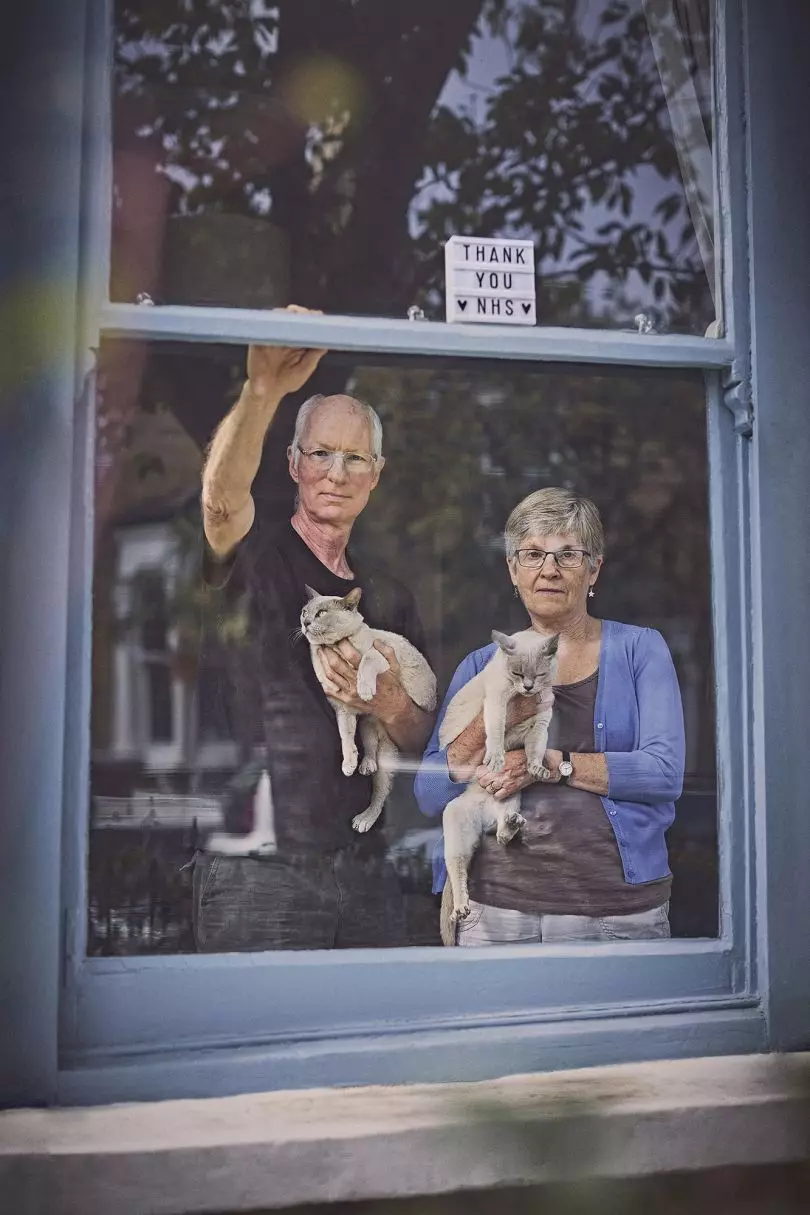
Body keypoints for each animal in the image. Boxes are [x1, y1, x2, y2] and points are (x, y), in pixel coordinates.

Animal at [301, 588, 437, 835]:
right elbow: (345, 737)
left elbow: (367, 658)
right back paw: (365, 765)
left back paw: (363, 820)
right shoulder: (344, 710)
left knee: (380, 795)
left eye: (322, 613)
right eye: (305, 612)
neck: (333, 647)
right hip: (368, 722)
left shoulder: (380, 656)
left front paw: (364, 690)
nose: (305, 622)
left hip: (387, 753)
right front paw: (348, 765)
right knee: (370, 745)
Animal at [437, 631, 558, 942]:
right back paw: (461, 908)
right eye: (518, 673)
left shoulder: (541, 719)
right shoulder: (499, 699)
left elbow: (536, 748)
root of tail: (484, 814)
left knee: (502, 836)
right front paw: (495, 758)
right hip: (456, 829)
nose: (528, 687)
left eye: (538, 674)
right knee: (457, 869)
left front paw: (536, 768)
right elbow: (496, 727)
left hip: (511, 798)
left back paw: (511, 824)